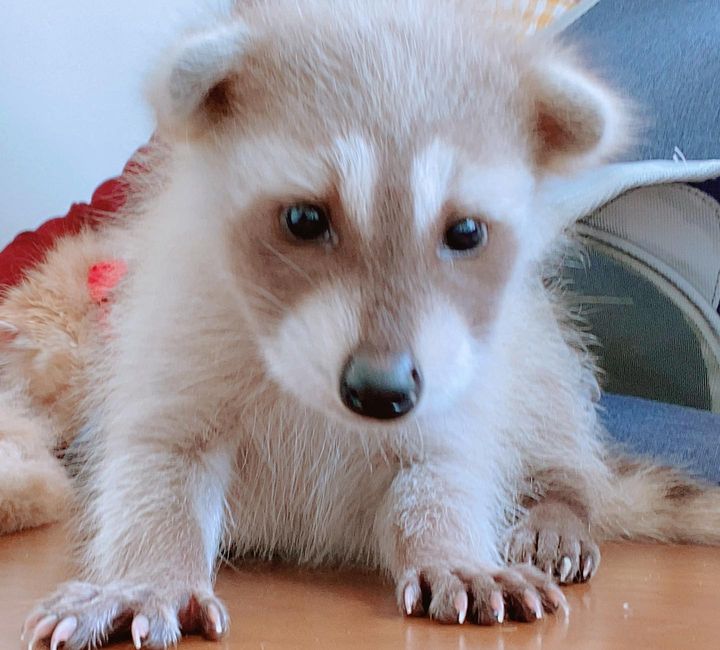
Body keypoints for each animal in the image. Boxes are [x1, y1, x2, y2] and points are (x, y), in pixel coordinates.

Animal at [23, 1, 720, 648]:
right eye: (304, 219)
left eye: (465, 231)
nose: (383, 393)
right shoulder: (182, 312)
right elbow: (161, 457)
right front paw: (149, 572)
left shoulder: (464, 361)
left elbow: (443, 468)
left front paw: (450, 547)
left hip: (534, 335)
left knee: (549, 403)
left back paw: (559, 498)